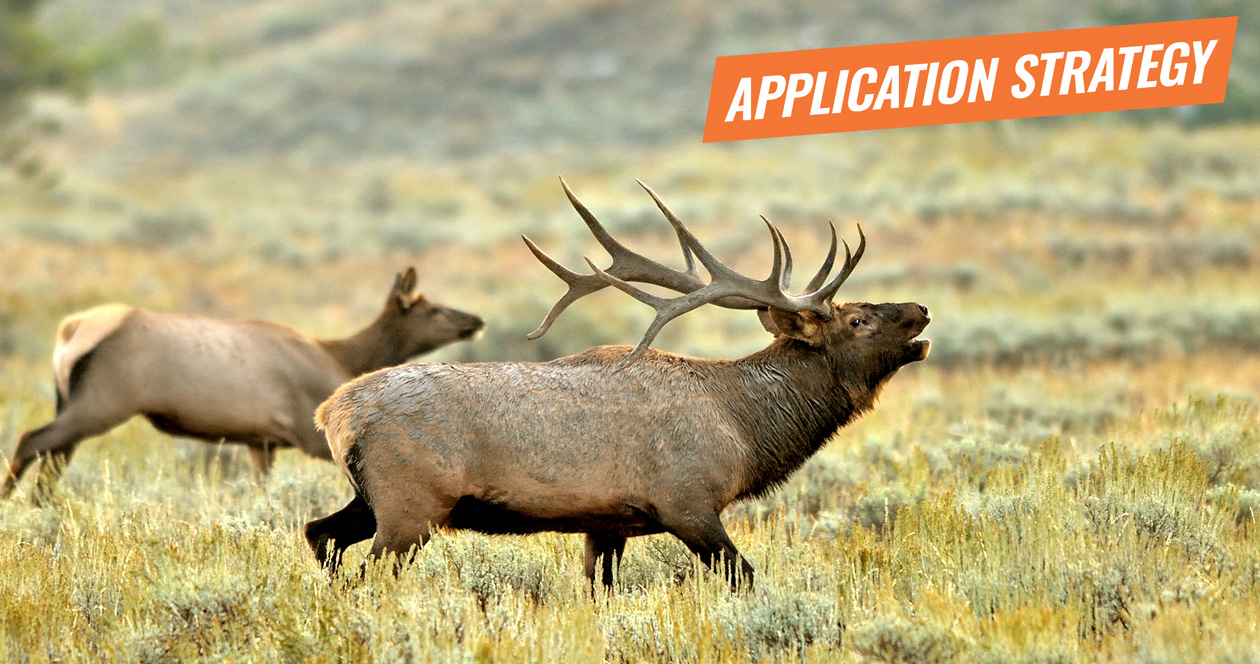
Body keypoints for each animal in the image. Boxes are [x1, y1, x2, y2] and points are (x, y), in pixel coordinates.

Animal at [2, 267, 484, 501]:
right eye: (434, 309)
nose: (476, 320)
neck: (343, 358)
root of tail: (70, 331)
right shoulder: (309, 433)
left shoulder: (261, 441)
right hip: (104, 401)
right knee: (32, 440)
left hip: (75, 402)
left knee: (55, 455)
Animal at [304, 179, 930, 590]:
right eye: (858, 320)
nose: (920, 311)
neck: (746, 429)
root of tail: (333, 413)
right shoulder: (689, 502)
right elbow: (746, 577)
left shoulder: (607, 522)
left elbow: (600, 590)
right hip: (410, 503)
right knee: (362, 571)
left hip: (376, 499)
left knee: (319, 534)